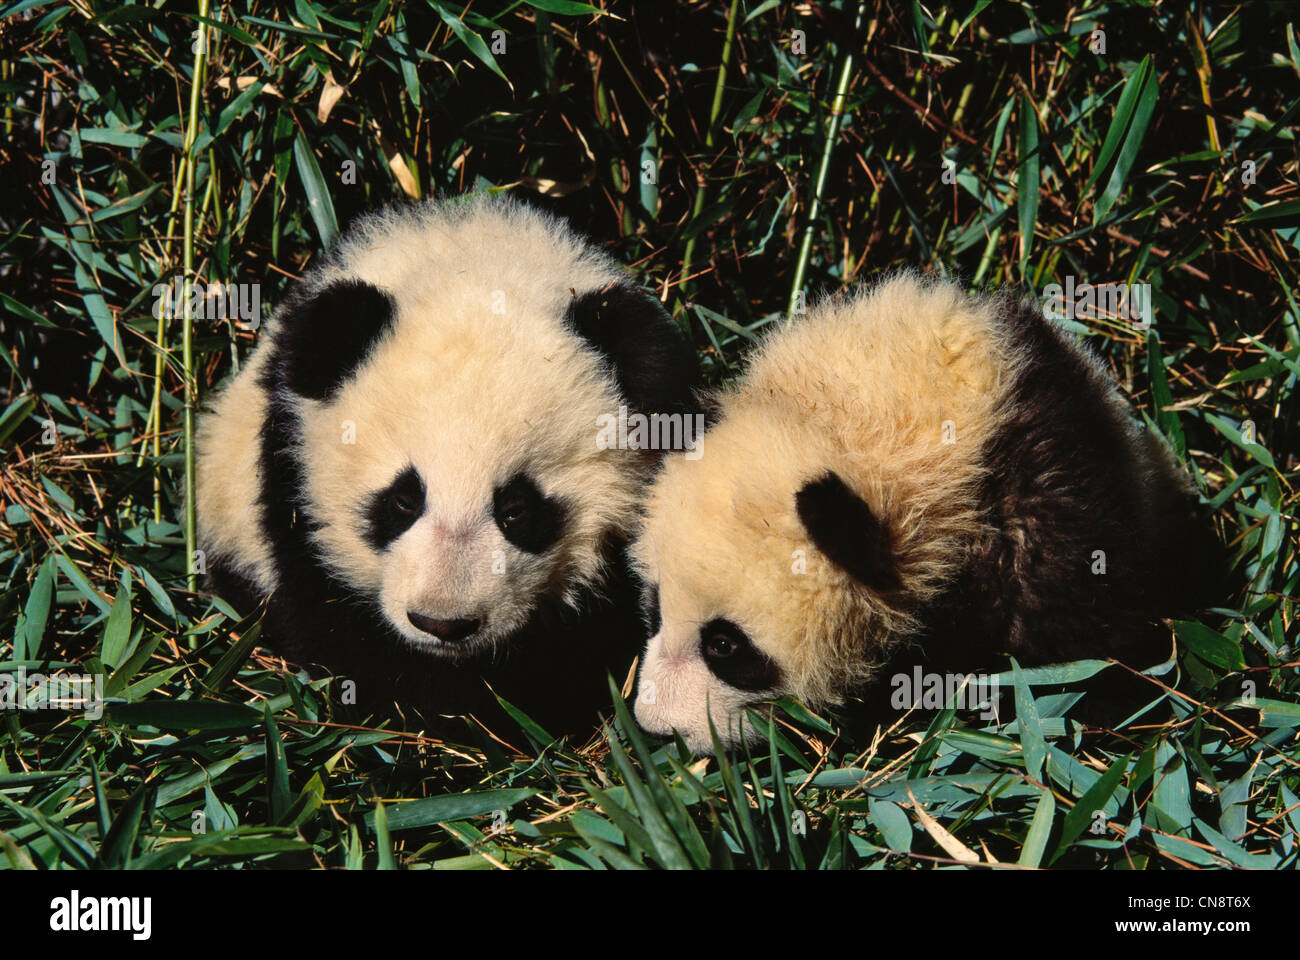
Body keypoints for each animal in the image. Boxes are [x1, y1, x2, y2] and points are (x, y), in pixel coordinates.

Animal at [197, 195, 698, 735]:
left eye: (517, 509)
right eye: (403, 500)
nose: (443, 623)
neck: (473, 257)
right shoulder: (289, 471)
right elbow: (330, 616)